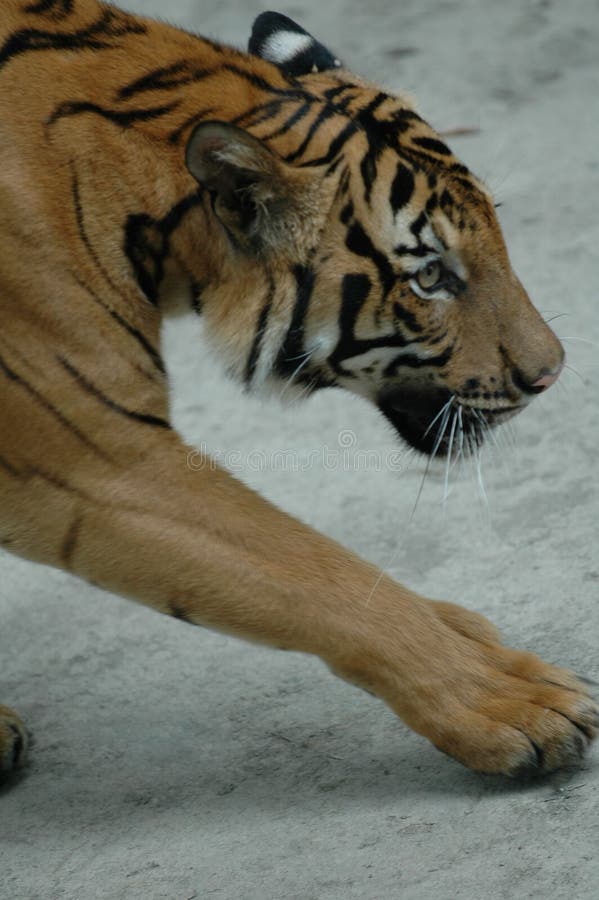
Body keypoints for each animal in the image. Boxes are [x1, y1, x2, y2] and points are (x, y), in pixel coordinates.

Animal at [0, 0, 596, 782]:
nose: (550, 372)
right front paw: (506, 700)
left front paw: (472, 634)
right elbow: (315, 572)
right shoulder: (93, 460)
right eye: (429, 276)